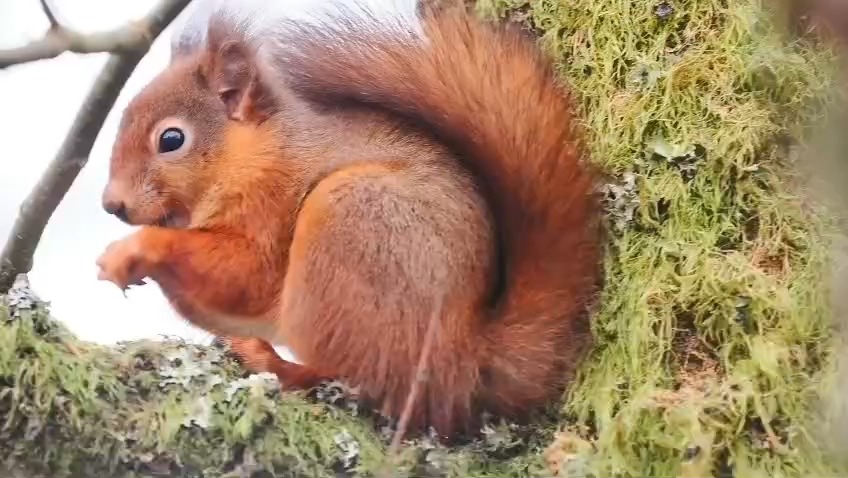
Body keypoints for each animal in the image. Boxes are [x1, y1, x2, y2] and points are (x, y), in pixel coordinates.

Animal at [95, 0, 602, 440]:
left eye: (172, 139)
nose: (111, 205)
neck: (252, 156)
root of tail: (465, 360)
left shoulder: (271, 206)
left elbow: (244, 276)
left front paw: (136, 249)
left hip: (349, 228)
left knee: (357, 375)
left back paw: (281, 367)